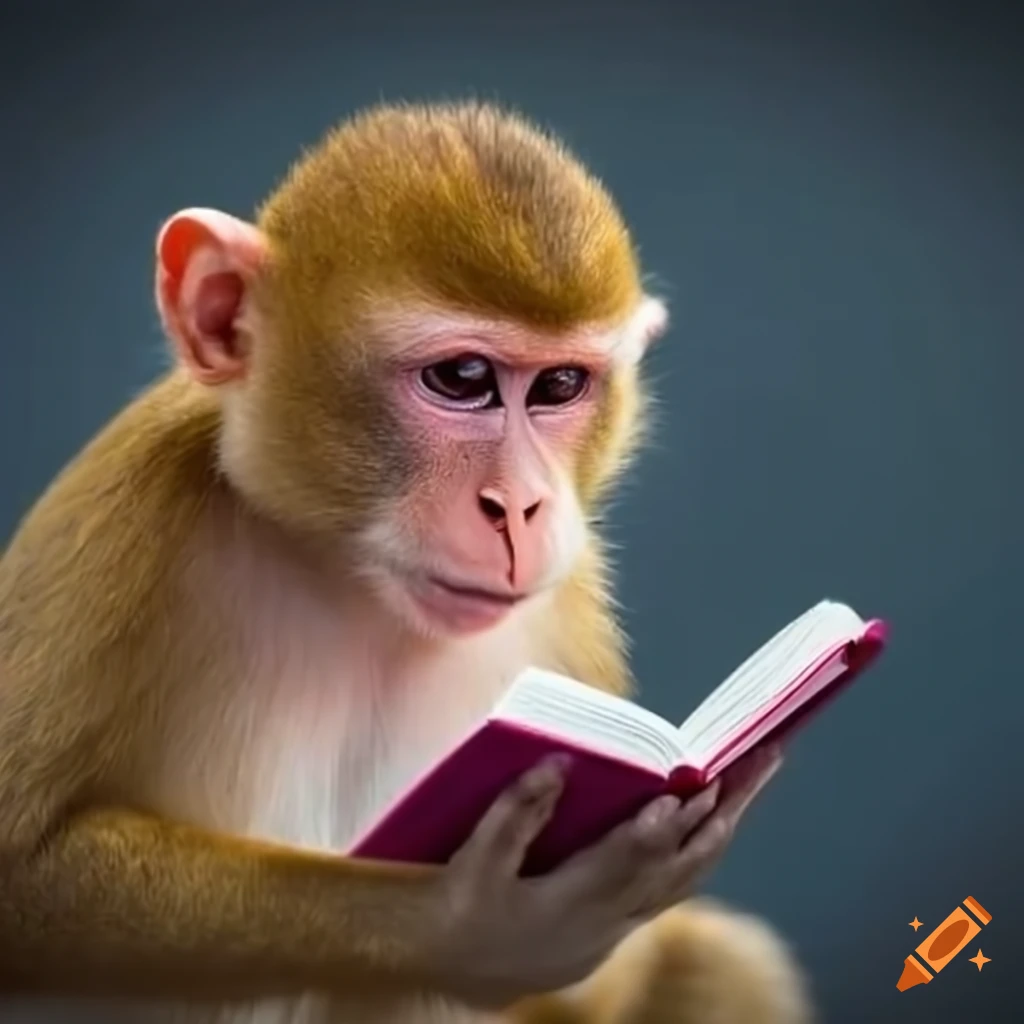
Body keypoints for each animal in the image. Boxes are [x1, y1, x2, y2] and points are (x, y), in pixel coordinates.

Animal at [0, 101, 813, 1024]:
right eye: (462, 377)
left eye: (559, 386)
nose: (520, 507)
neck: (352, 587)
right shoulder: (130, 515)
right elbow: (20, 882)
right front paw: (462, 924)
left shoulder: (571, 601)